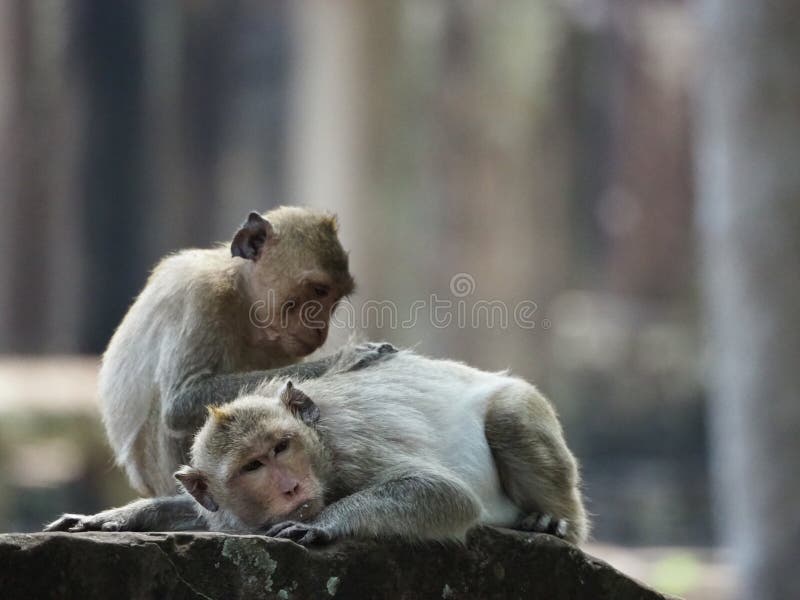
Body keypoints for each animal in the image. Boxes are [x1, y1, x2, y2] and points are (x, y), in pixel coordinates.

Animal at [48, 350, 589, 545]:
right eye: (252, 466)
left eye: (282, 448)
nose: (289, 487)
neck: (318, 448)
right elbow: (207, 515)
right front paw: (116, 517)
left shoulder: (350, 447)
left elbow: (443, 493)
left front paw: (324, 523)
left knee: (509, 415)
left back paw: (550, 521)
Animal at [97, 205, 394, 498]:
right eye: (319, 290)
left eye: (335, 298)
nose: (321, 329)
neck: (242, 298)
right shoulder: (203, 296)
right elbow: (181, 401)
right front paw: (347, 357)